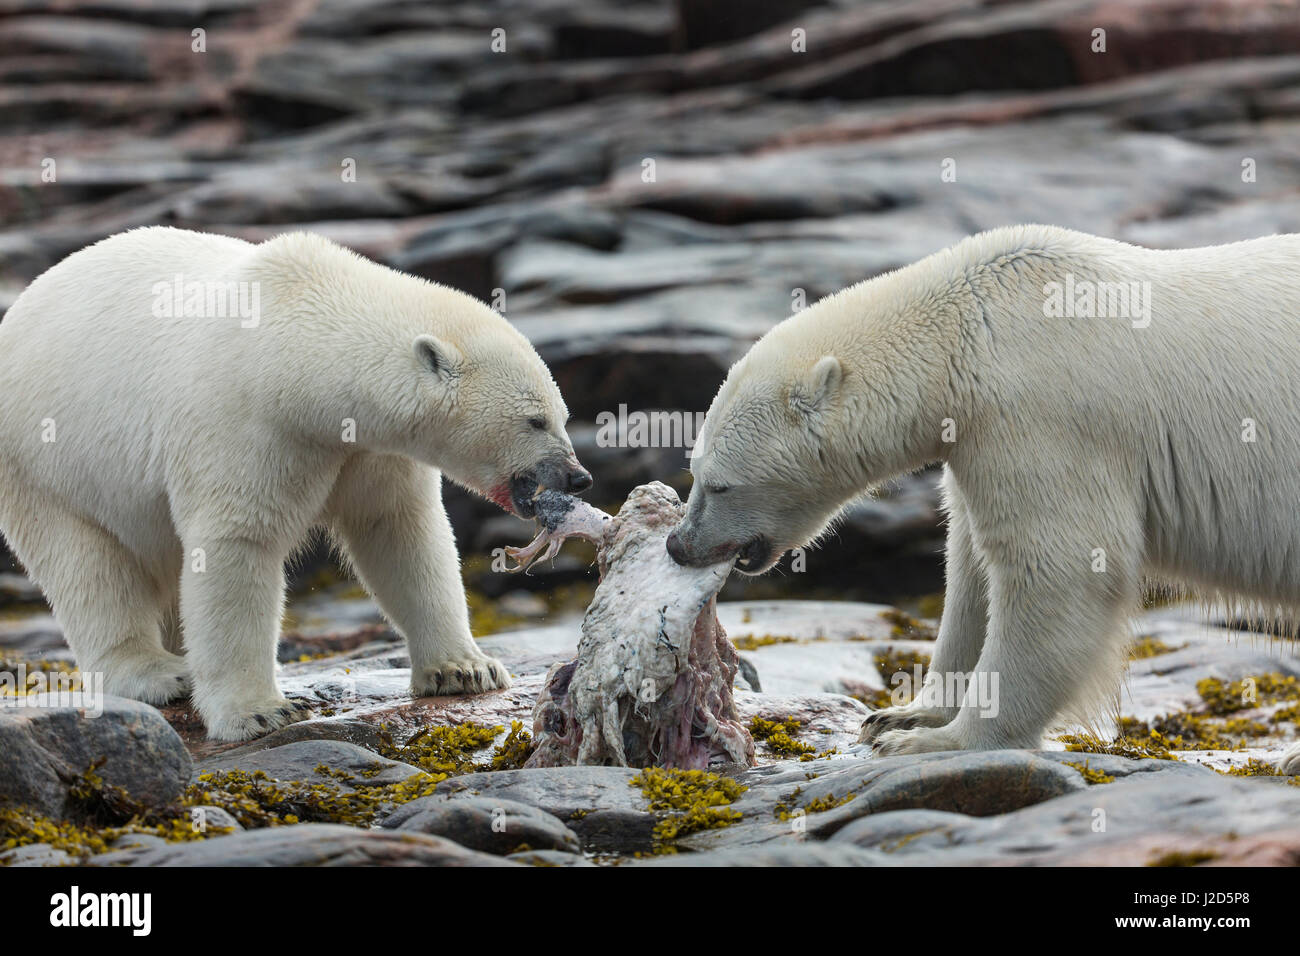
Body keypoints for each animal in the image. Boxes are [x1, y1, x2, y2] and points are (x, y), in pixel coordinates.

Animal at [0, 226, 590, 741]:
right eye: (535, 420)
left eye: (563, 414)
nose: (577, 476)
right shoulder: (245, 422)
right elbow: (238, 542)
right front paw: (257, 713)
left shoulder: (366, 449)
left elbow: (399, 531)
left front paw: (465, 669)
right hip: (47, 465)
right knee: (88, 566)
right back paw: (159, 672)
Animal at [666, 223, 1300, 775]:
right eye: (692, 471)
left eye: (718, 483)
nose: (679, 543)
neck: (969, 329)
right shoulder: (972, 437)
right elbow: (970, 568)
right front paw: (901, 715)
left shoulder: (1041, 413)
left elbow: (1060, 566)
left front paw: (938, 743)